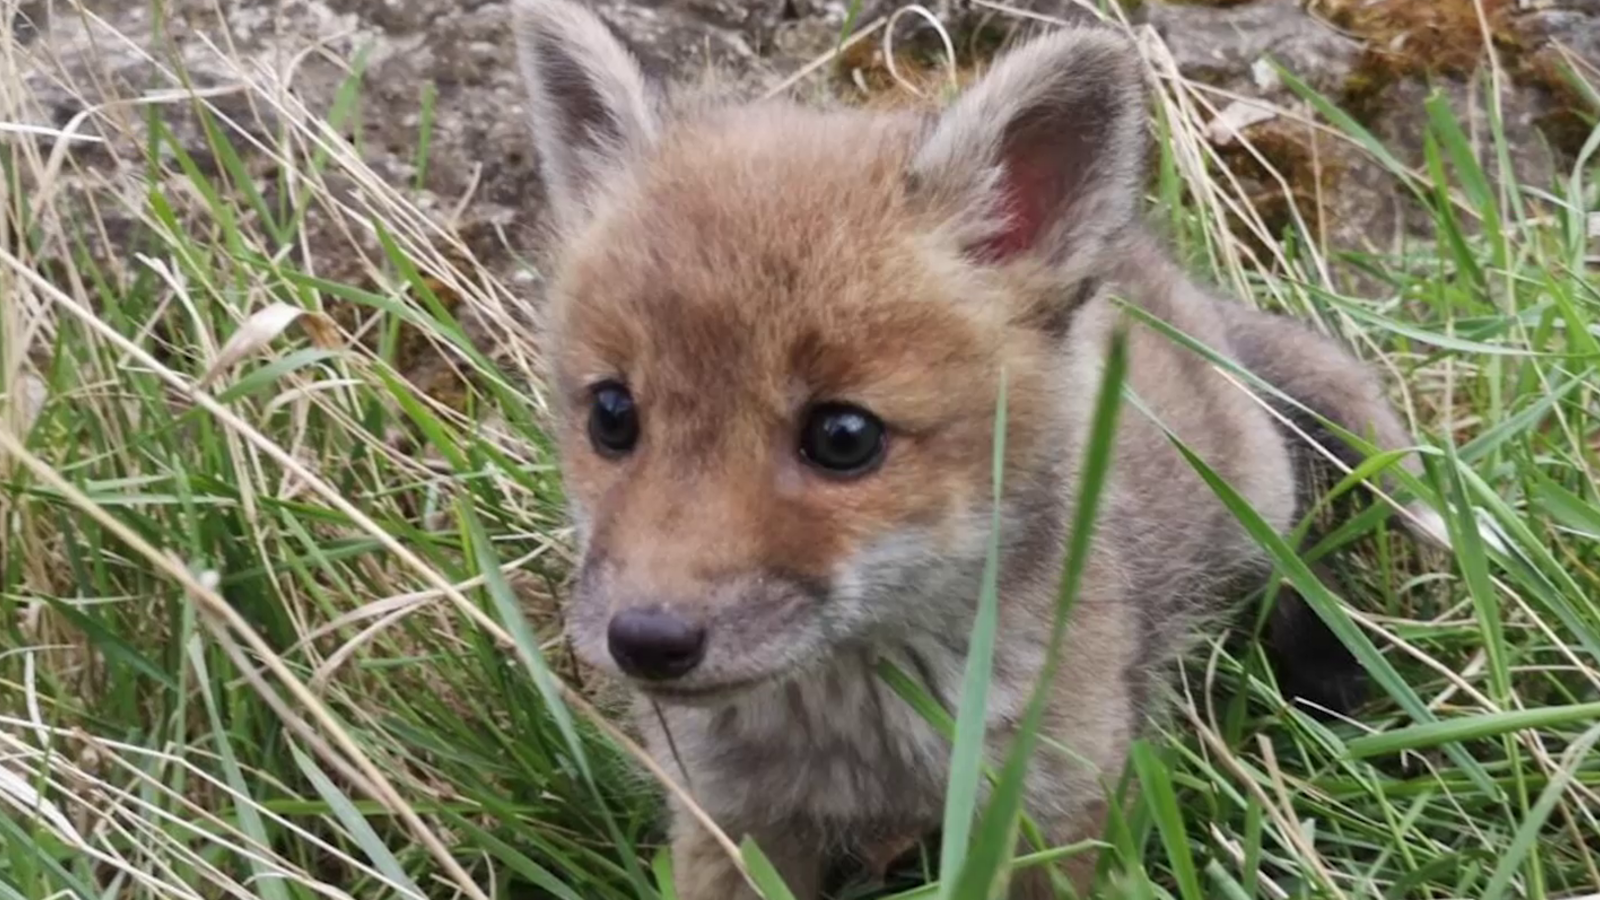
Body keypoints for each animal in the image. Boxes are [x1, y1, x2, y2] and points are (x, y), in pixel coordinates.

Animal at [508, 1, 1442, 897]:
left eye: (843, 437)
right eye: (613, 416)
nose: (647, 639)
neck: (861, 740)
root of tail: (1160, 278)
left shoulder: (1052, 806)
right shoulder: (727, 818)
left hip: (1255, 502)